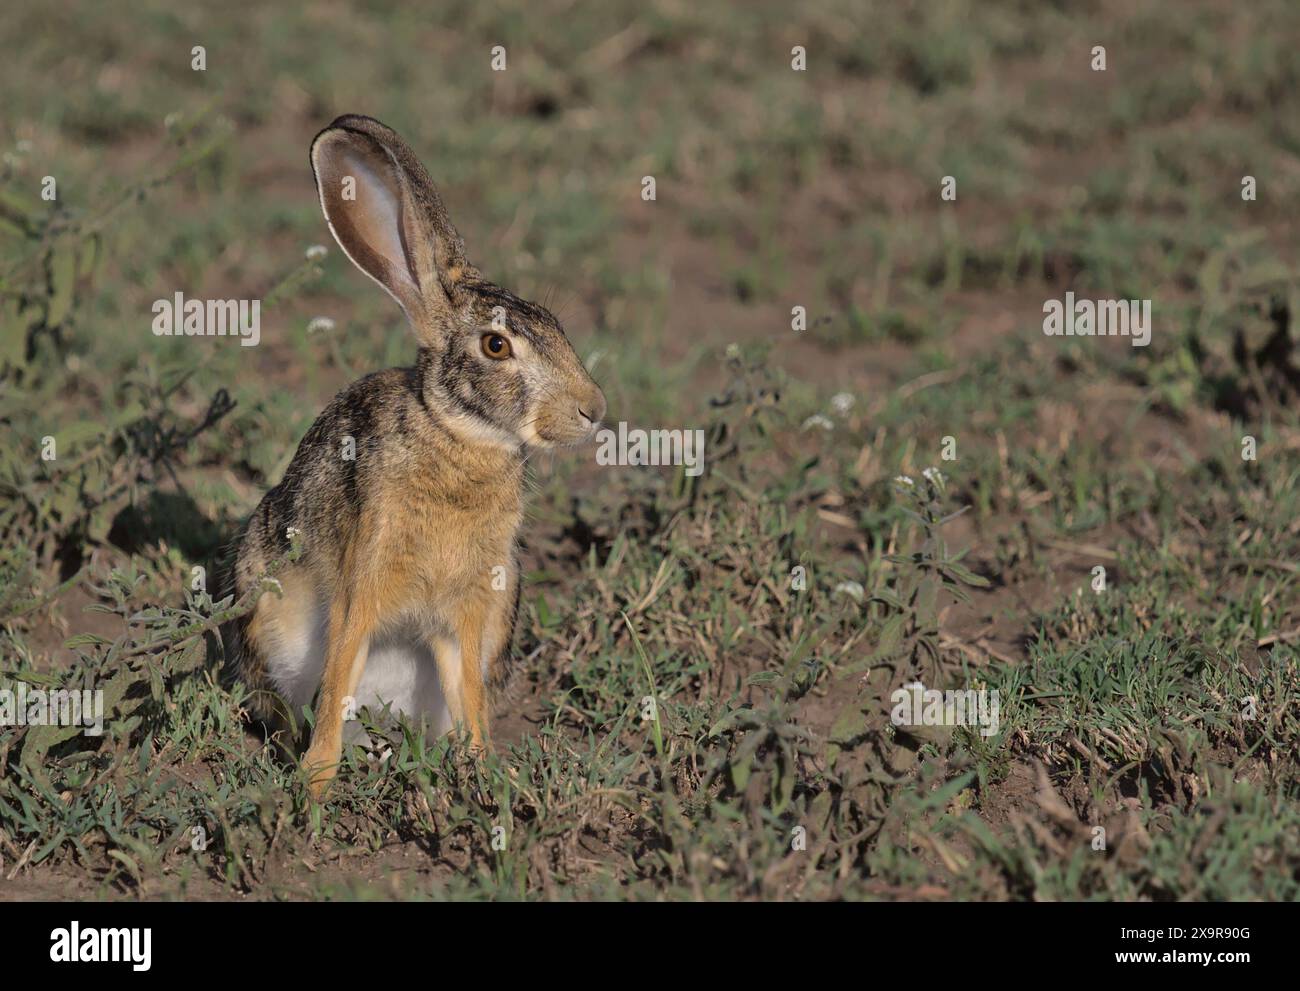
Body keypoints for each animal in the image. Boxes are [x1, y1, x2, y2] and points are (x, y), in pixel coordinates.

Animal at [223, 114, 606, 799]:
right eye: (496, 345)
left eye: (555, 325)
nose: (594, 409)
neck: (458, 434)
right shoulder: (364, 578)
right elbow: (340, 672)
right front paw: (316, 782)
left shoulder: (470, 610)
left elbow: (467, 689)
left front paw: (486, 772)